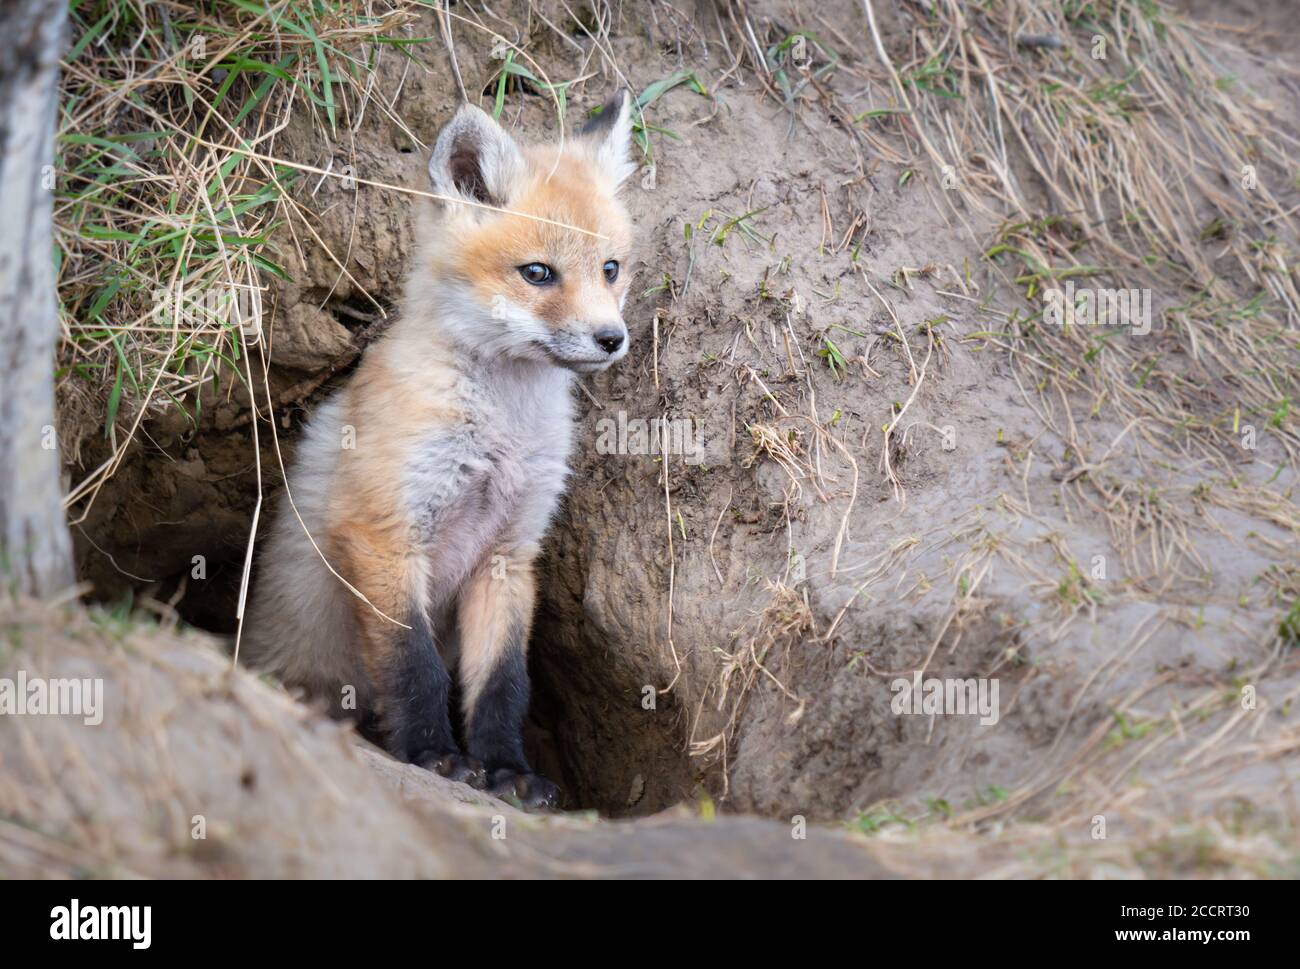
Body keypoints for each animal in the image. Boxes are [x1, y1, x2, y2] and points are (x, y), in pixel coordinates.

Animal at [242, 92, 637, 809]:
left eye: (610, 269)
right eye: (538, 273)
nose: (611, 338)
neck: (502, 431)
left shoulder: (509, 552)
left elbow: (504, 682)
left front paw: (507, 768)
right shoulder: (384, 533)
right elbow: (413, 664)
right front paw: (434, 755)